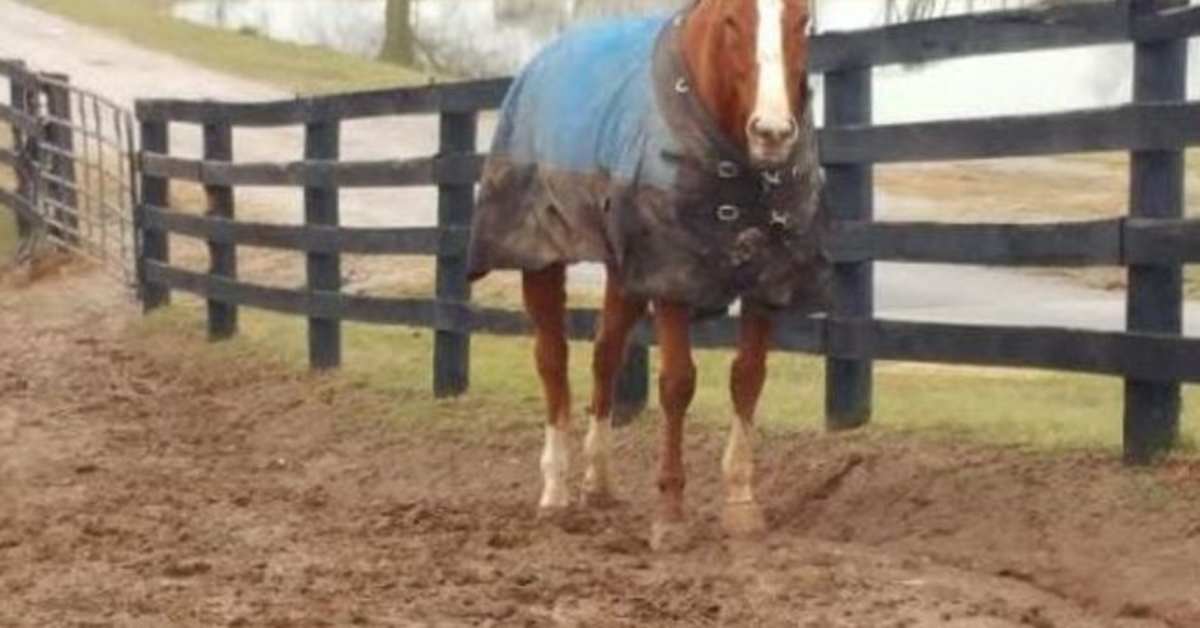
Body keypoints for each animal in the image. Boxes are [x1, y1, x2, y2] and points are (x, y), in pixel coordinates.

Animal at [468, 0, 826, 549]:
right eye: (731, 20)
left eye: (803, 20)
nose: (772, 133)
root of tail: (539, 65)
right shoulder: (670, 277)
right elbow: (677, 383)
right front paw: (670, 514)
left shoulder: (766, 281)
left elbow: (748, 379)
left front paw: (741, 504)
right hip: (541, 260)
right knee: (552, 361)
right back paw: (555, 490)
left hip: (624, 273)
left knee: (605, 356)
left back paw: (598, 483)